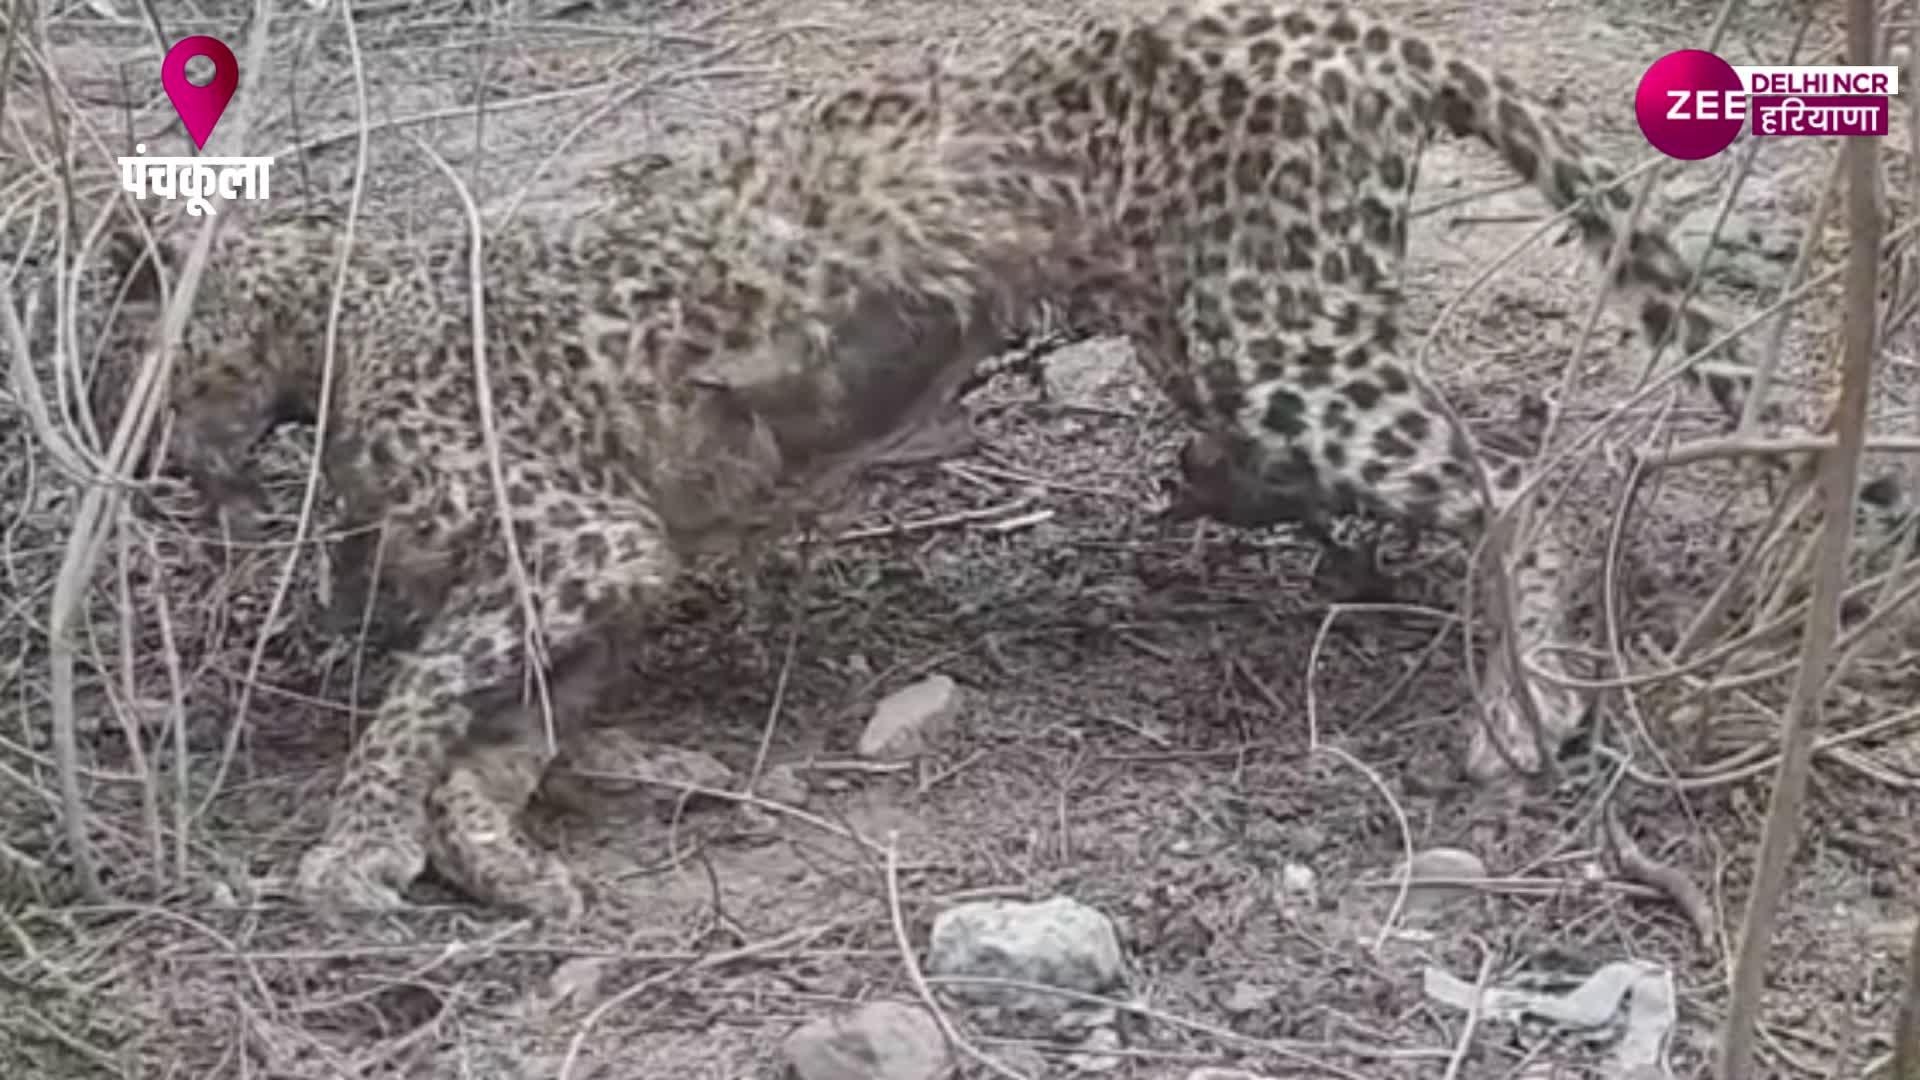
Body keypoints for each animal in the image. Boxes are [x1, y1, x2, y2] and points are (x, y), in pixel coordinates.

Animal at [110, 0, 1794, 922]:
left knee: (1529, 484)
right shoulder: (600, 593)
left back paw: (1526, 698)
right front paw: (493, 857)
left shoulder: (585, 548)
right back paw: (1243, 499)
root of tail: (1349, 29)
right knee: (1366, 463)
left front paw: (357, 846)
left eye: (146, 368)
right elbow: (481, 737)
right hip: (1217, 323)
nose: (149, 474)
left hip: (1279, 334)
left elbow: (409, 703)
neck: (338, 327)